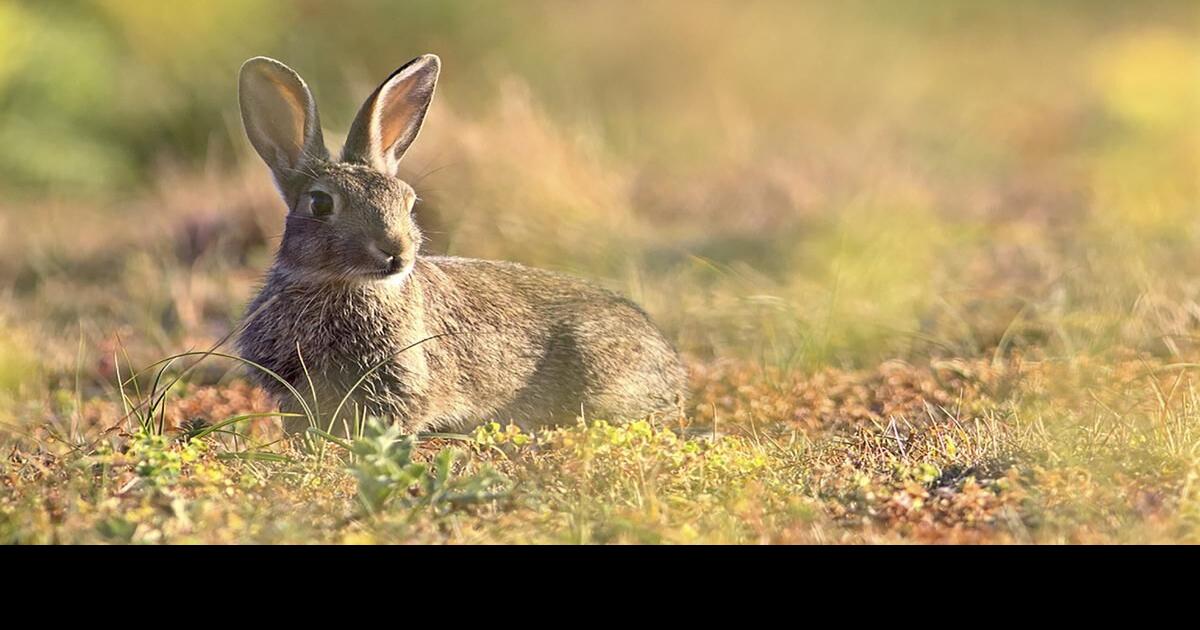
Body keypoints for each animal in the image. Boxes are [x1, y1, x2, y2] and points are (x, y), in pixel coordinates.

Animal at [235, 54, 686, 436]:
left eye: (408, 201)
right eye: (321, 203)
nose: (395, 252)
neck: (339, 285)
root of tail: (674, 372)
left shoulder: (401, 386)